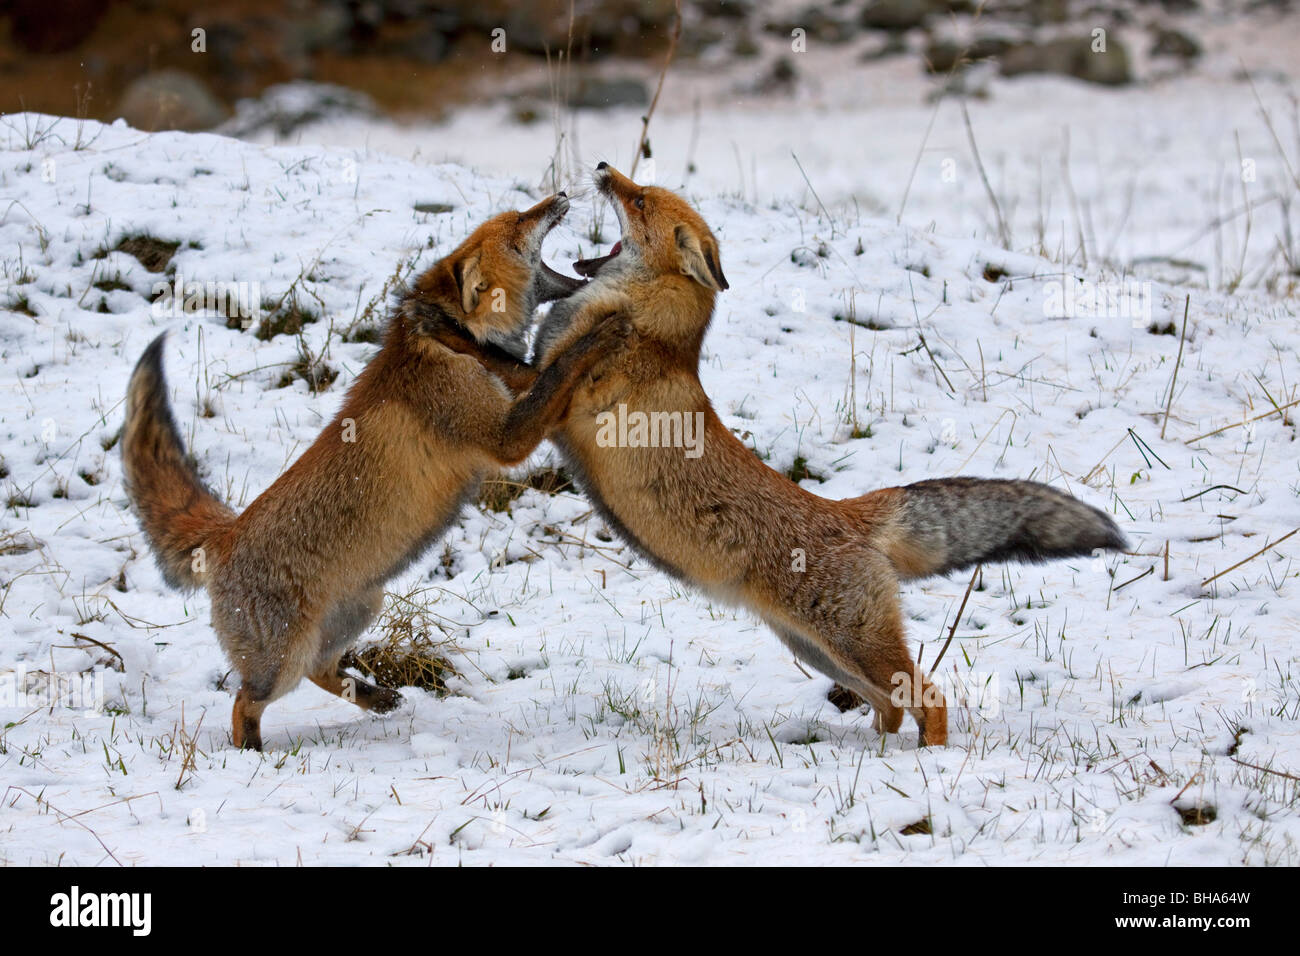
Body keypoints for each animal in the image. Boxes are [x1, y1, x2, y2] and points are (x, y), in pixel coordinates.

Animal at [121, 193, 627, 751]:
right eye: (519, 224)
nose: (559, 196)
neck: (455, 342)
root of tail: (224, 535)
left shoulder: (509, 394)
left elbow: (533, 371)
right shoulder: (503, 438)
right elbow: (556, 371)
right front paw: (600, 334)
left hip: (356, 613)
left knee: (322, 672)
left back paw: (379, 699)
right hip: (281, 660)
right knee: (244, 701)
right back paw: (251, 754)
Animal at [429, 165, 1128, 747]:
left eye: (639, 199)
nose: (602, 166)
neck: (651, 325)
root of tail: (848, 513)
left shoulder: (556, 395)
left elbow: (525, 369)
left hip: (850, 644)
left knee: (928, 698)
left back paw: (922, 762)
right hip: (818, 648)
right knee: (891, 706)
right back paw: (873, 755)